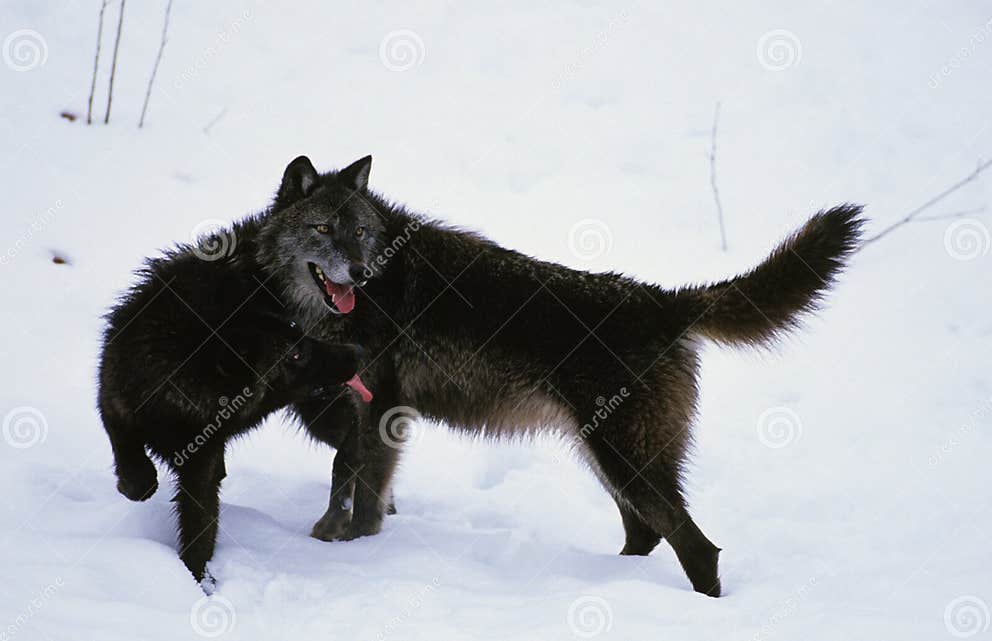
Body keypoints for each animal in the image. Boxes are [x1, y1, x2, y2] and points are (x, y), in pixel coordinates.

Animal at [98, 212, 374, 583]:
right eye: (295, 354)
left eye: (300, 333)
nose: (356, 352)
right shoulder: (113, 398)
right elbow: (126, 451)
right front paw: (137, 482)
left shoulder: (200, 469)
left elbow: (200, 534)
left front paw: (197, 581)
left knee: (356, 442)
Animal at [256, 154, 864, 597]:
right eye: (323, 228)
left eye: (361, 231)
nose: (359, 273)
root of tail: (663, 301)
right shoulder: (365, 408)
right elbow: (345, 473)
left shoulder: (382, 410)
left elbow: (364, 497)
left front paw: (357, 553)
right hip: (606, 458)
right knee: (647, 533)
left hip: (623, 460)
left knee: (697, 547)